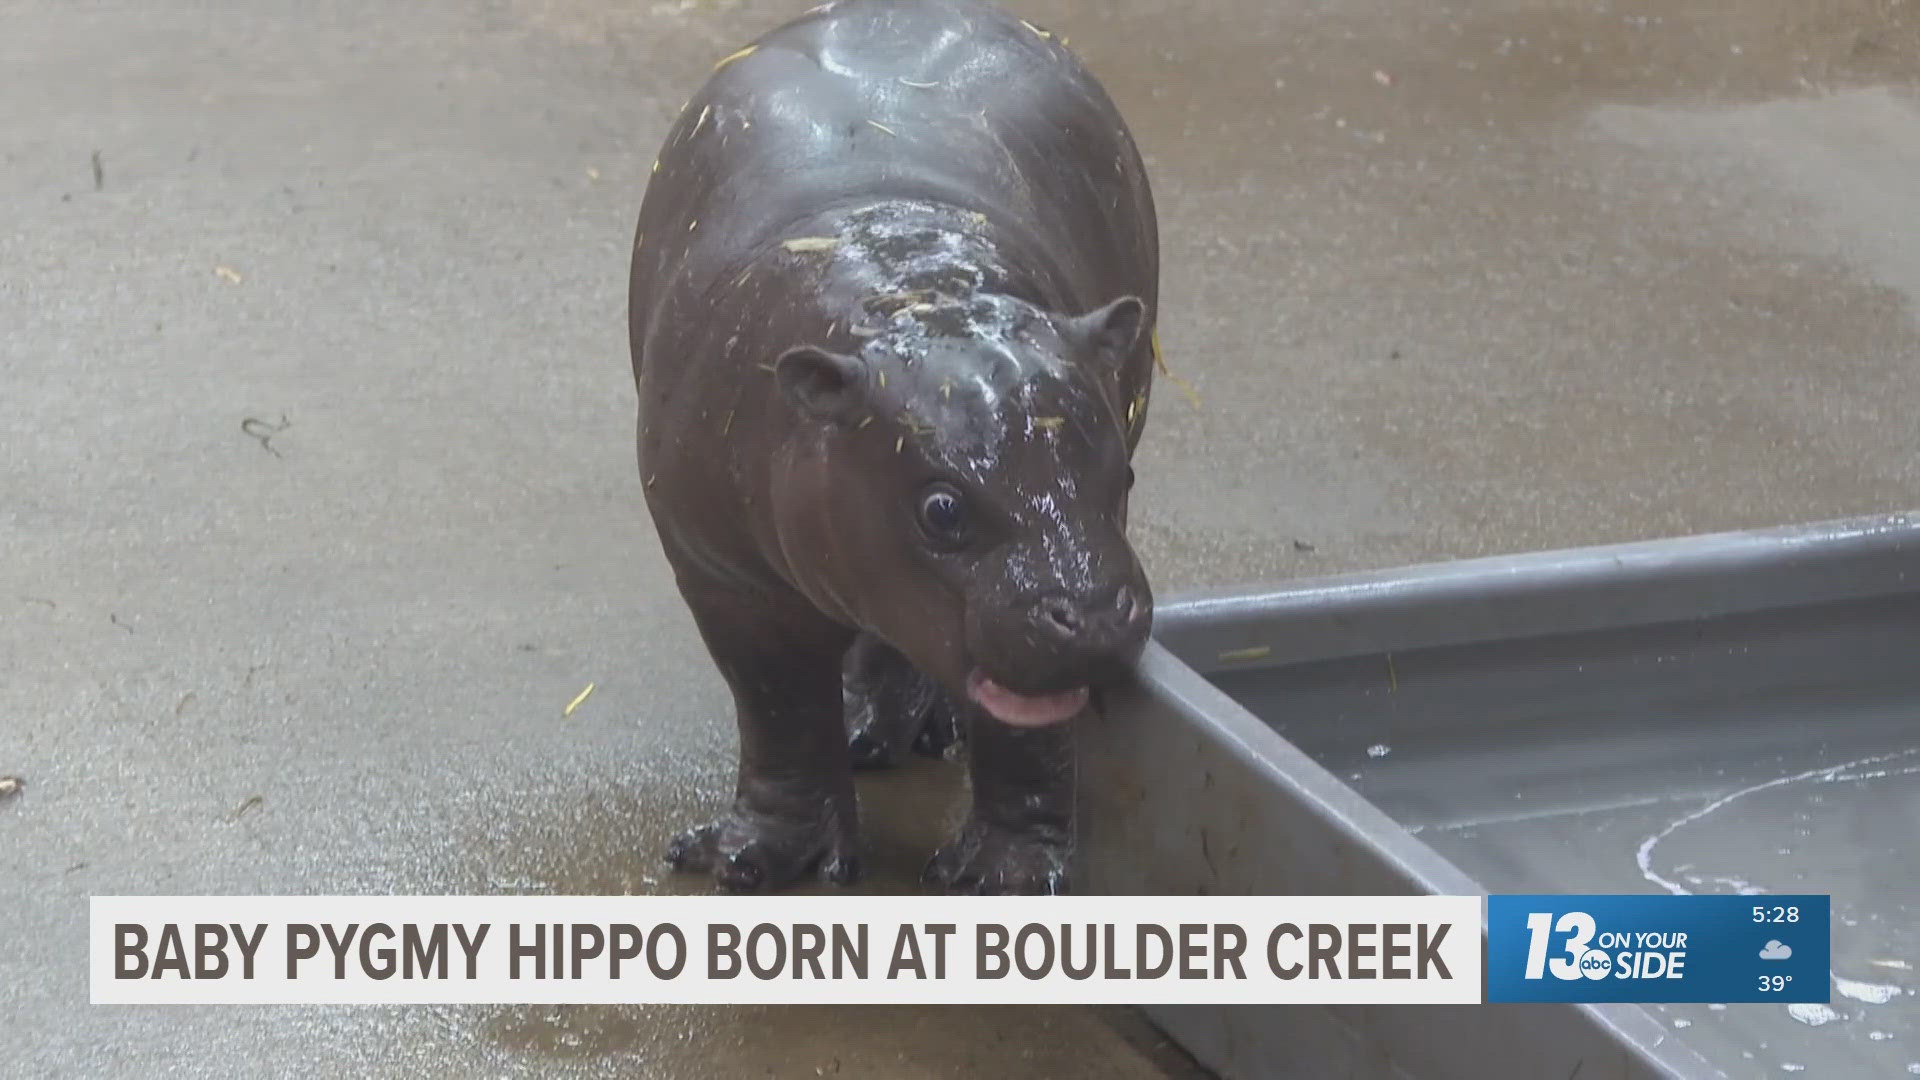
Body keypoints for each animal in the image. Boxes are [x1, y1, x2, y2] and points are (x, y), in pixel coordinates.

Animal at [628, 0, 1158, 894]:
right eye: (941, 510)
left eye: (1118, 475)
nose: (1088, 614)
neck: (914, 286)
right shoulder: (721, 573)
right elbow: (777, 707)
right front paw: (749, 860)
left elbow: (1028, 730)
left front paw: (1007, 874)